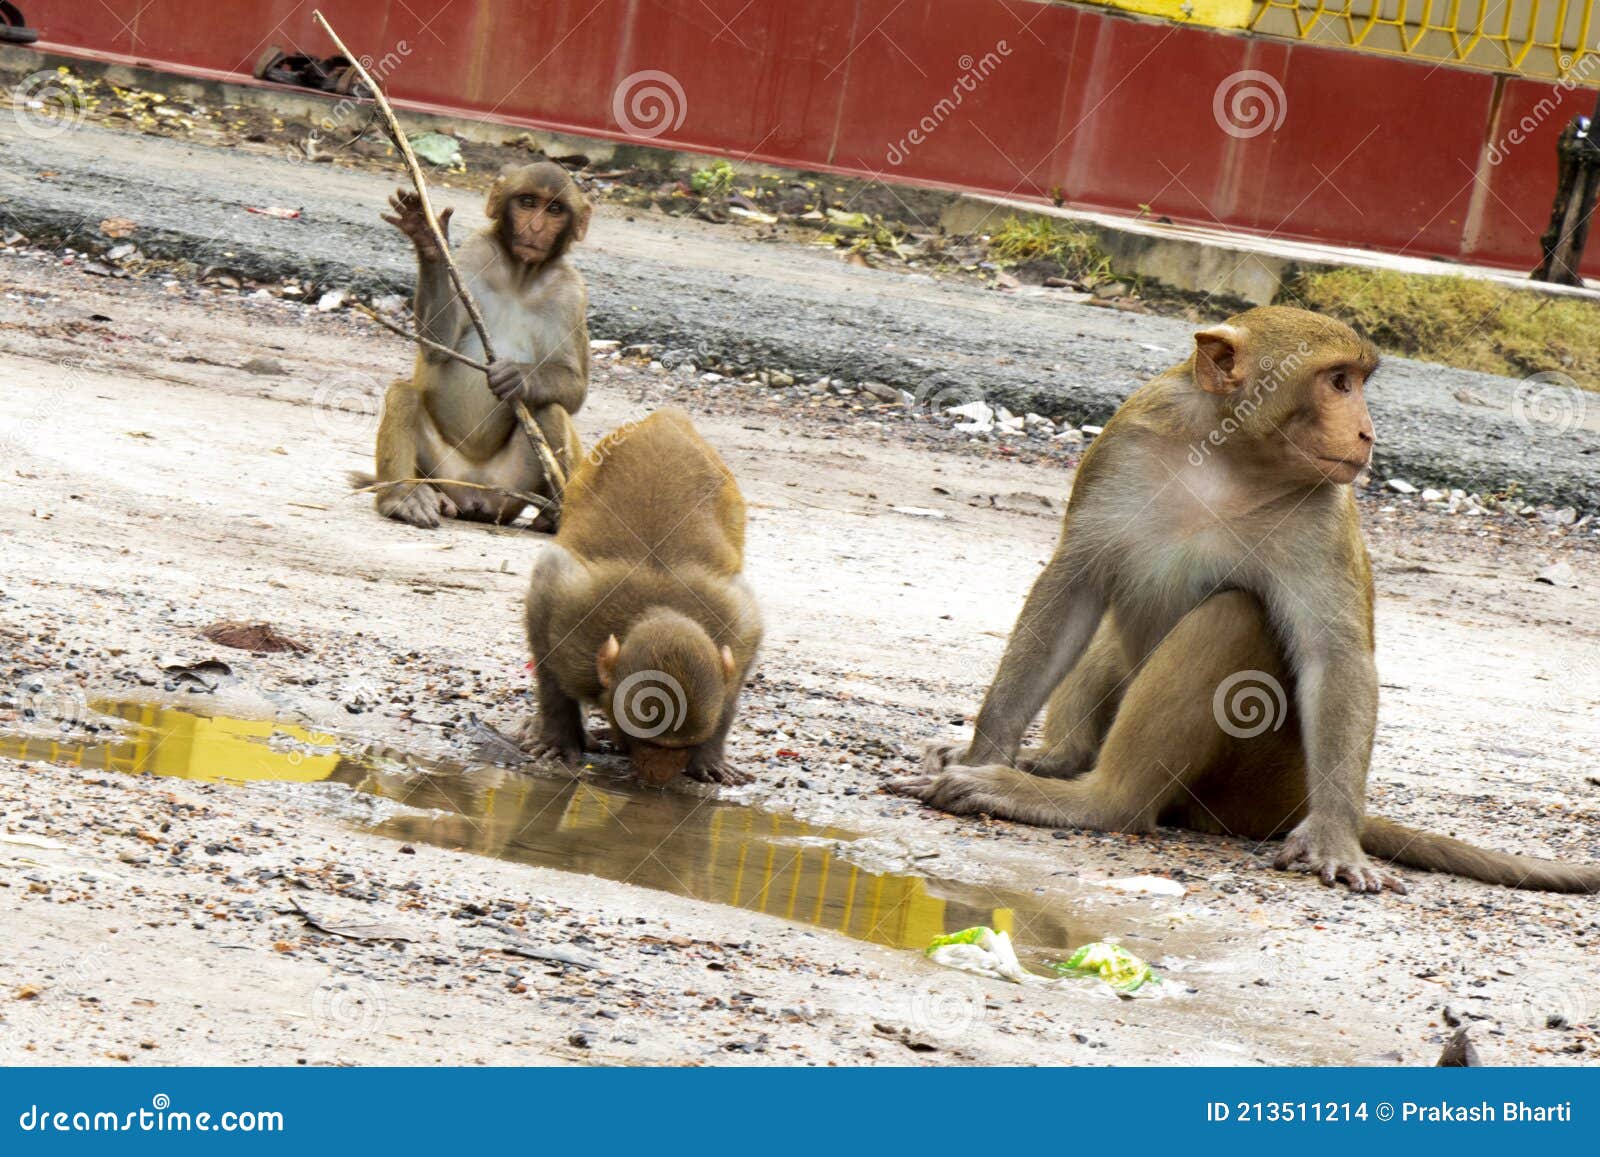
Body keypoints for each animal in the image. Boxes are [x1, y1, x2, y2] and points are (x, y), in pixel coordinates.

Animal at [358, 162, 591, 529]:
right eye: (527, 202)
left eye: (554, 209)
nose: (536, 227)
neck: (520, 276)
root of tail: (474, 496)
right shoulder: (475, 252)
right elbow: (436, 345)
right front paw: (427, 237)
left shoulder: (570, 291)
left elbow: (574, 386)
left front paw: (516, 378)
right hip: (441, 471)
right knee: (403, 394)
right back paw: (404, 499)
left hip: (511, 487)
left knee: (548, 409)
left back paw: (553, 515)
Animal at [519, 408, 763, 787]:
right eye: (650, 742)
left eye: (681, 746)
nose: (659, 777)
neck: (659, 608)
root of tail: (666, 417)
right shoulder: (573, 619)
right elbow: (546, 632)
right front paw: (559, 737)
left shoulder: (738, 627)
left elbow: (731, 685)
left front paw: (709, 757)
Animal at [894, 305, 1600, 895]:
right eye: (1338, 382)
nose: (1367, 434)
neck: (1227, 456)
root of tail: (1290, 803)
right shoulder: (1124, 443)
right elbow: (1072, 590)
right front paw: (985, 750)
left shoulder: (1322, 511)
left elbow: (1333, 657)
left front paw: (1335, 842)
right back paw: (1057, 762)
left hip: (1258, 775)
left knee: (1231, 617)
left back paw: (1097, 801)